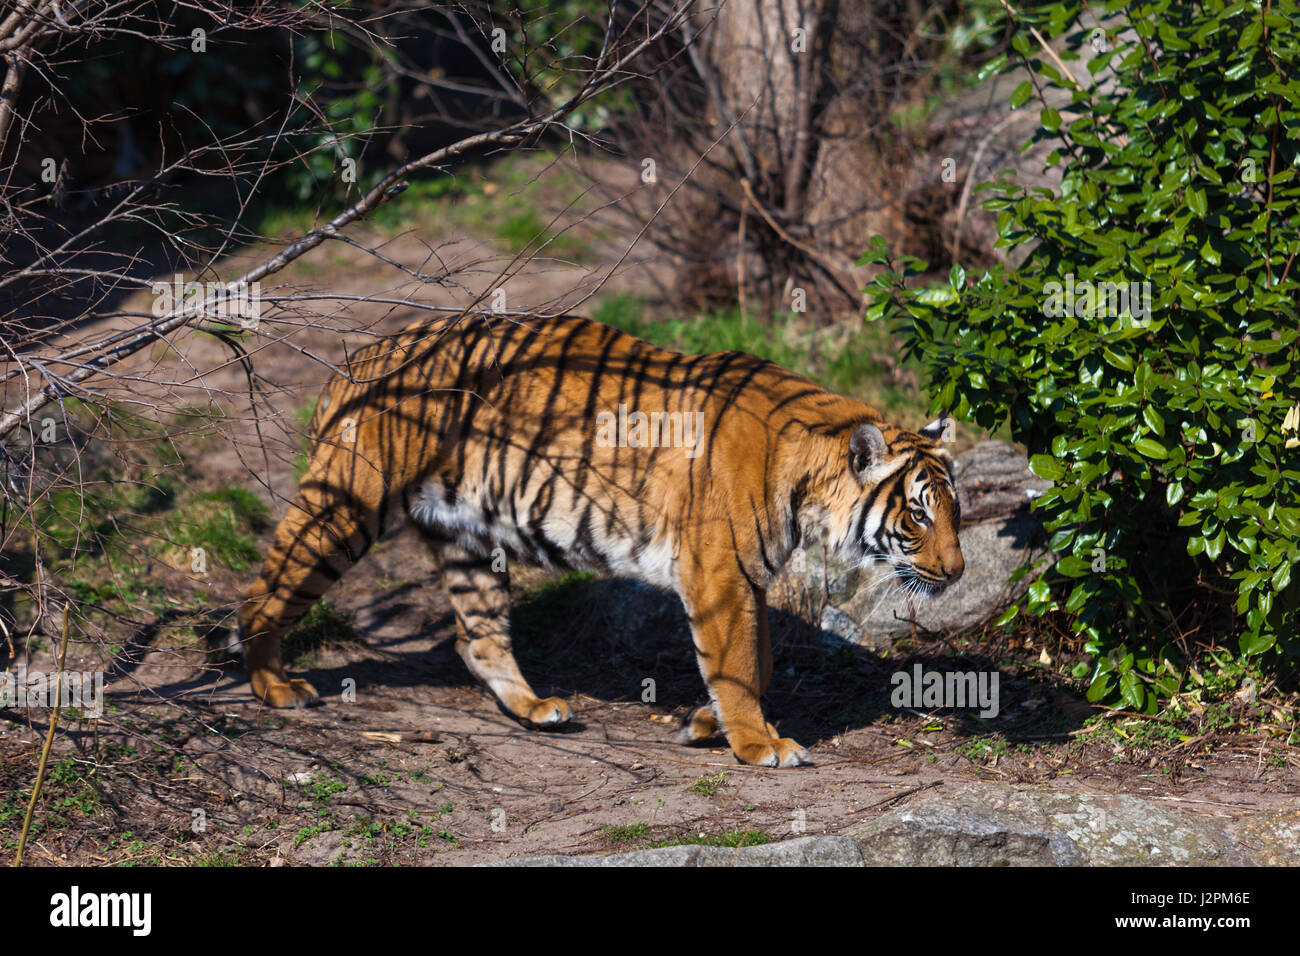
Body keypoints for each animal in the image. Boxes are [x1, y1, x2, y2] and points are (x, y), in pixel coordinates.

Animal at [237, 312, 964, 767]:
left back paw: (536, 708)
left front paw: (707, 724)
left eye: (955, 510)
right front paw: (761, 745)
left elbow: (753, 661)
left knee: (478, 637)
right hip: (345, 510)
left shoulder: (747, 577)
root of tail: (354, 359)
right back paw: (274, 688)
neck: (808, 488)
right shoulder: (719, 575)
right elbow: (735, 662)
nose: (958, 572)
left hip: (468, 539)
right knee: (259, 594)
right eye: (918, 516)